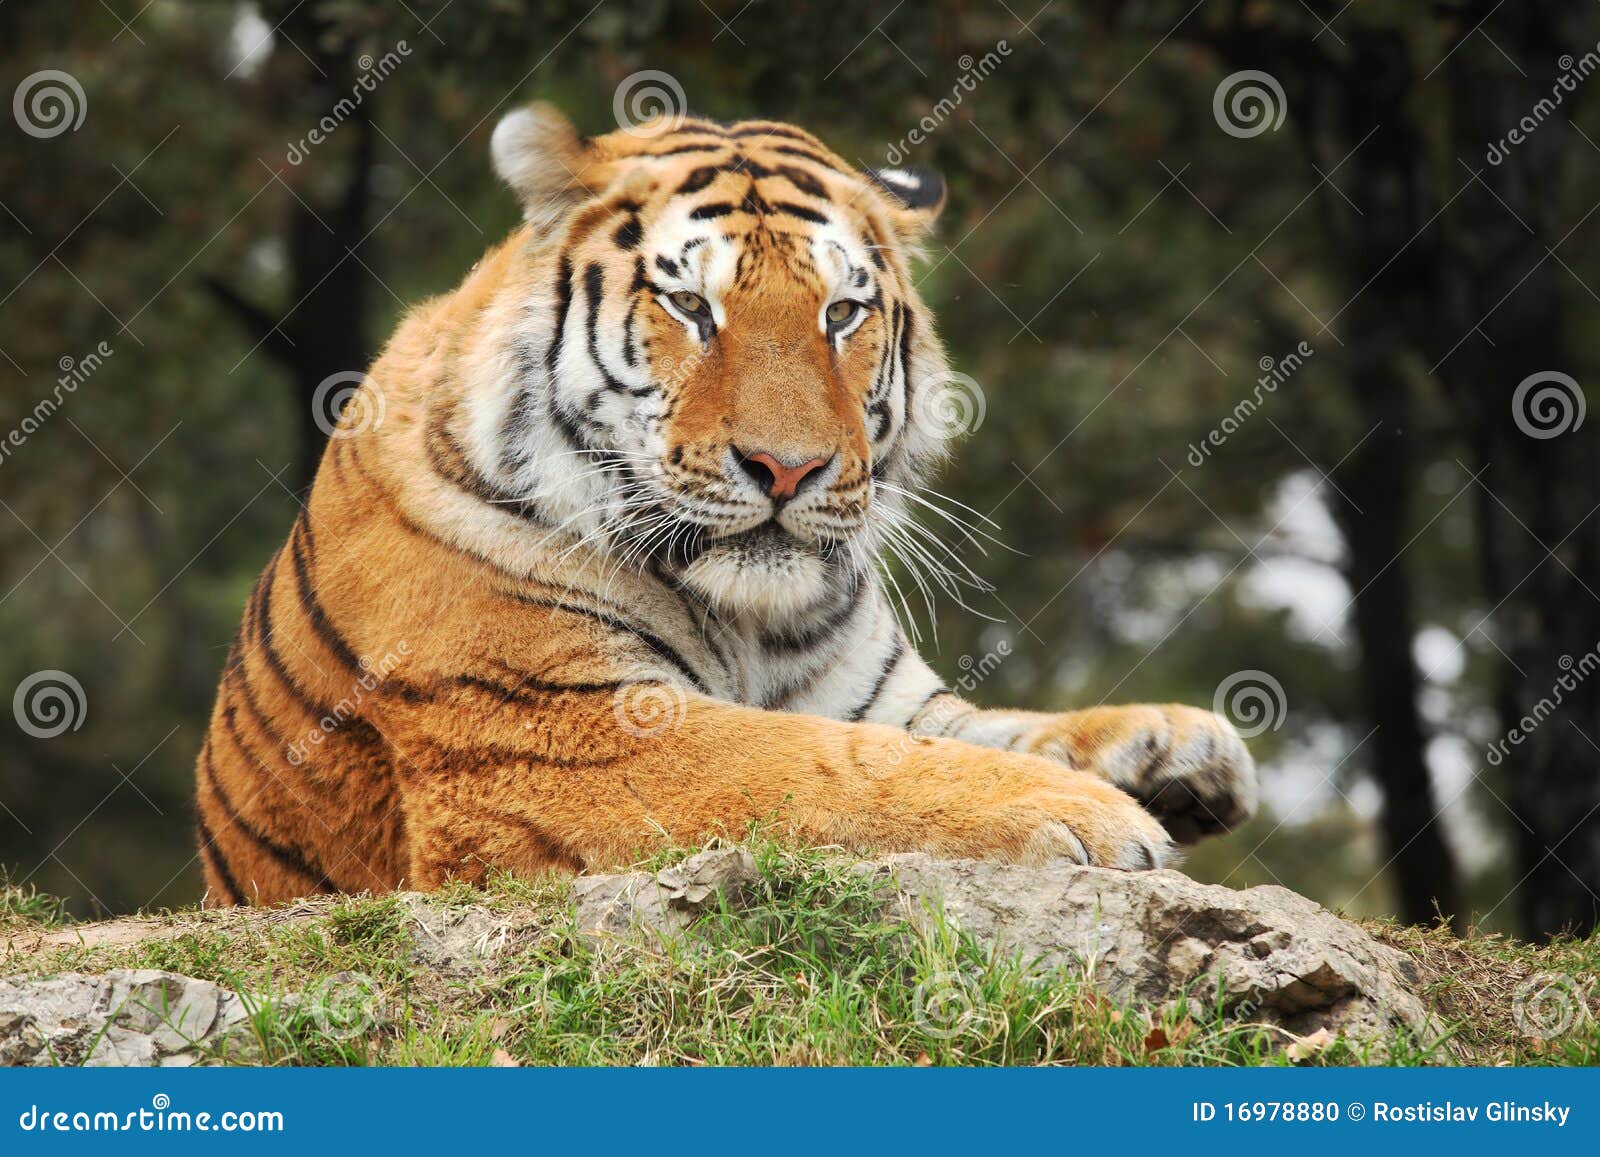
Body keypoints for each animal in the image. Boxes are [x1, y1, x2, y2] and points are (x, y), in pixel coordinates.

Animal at [193, 104, 1258, 906]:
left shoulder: (888, 698)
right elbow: (832, 762)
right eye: (691, 307)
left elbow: (980, 726)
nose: (788, 469)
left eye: (842, 313)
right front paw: (1088, 813)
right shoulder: (567, 735)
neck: (750, 619)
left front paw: (1180, 746)